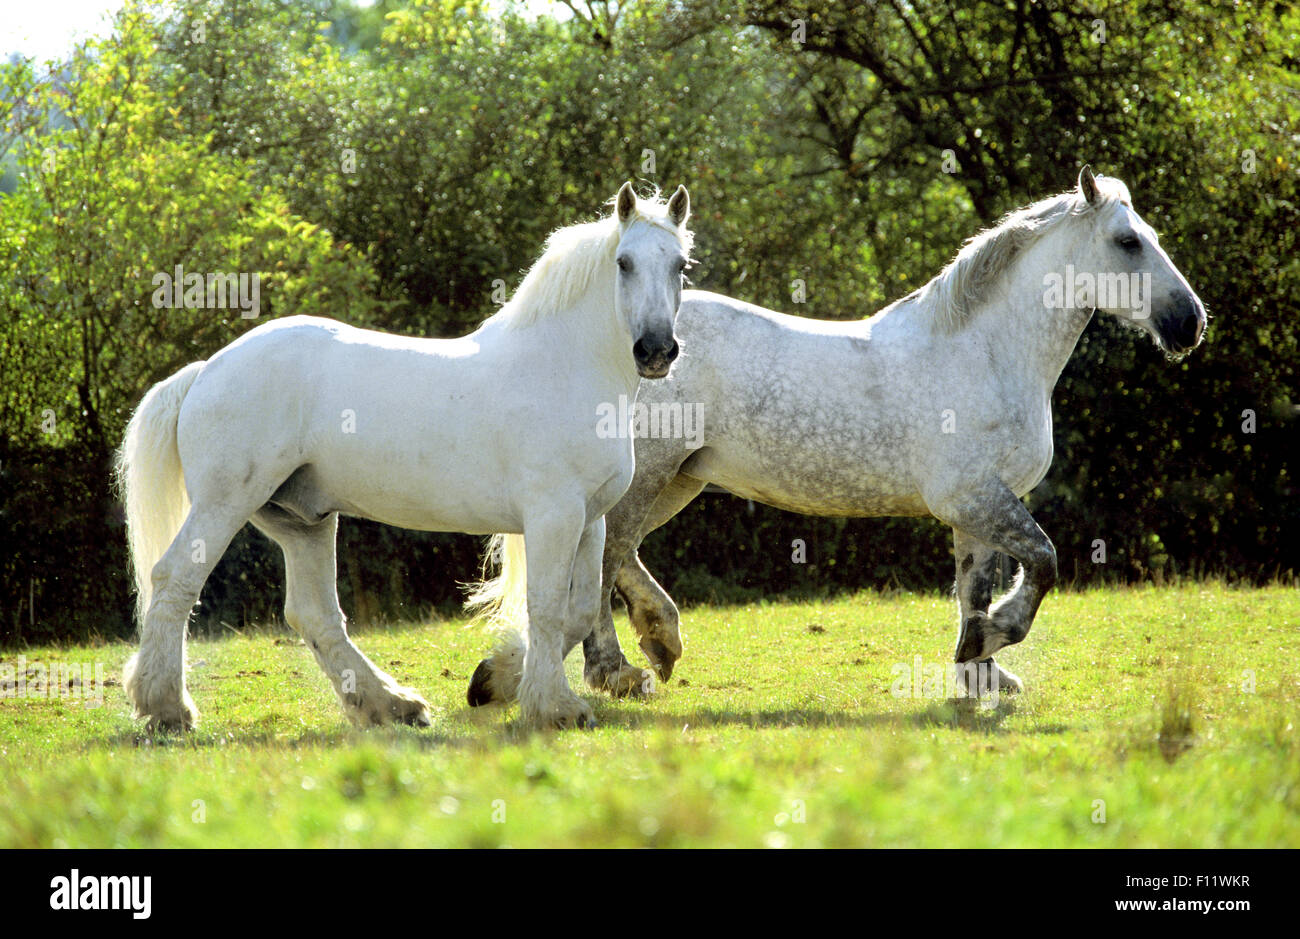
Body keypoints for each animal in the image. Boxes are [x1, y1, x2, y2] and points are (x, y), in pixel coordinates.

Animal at [117, 182, 693, 732]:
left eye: (680, 266)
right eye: (623, 262)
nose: (655, 351)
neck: (563, 365)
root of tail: (206, 370)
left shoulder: (589, 520)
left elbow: (577, 611)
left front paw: (502, 684)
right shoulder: (554, 515)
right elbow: (548, 609)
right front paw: (555, 708)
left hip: (302, 519)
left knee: (314, 614)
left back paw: (392, 706)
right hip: (224, 504)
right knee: (174, 581)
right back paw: (167, 709)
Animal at [466, 167, 1206, 713]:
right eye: (1128, 242)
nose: (1190, 323)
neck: (987, 354)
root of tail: (636, 343)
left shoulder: (976, 509)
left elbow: (975, 587)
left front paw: (980, 670)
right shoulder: (973, 496)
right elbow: (1045, 563)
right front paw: (989, 646)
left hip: (679, 478)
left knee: (616, 559)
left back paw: (604, 653)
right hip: (647, 476)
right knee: (608, 558)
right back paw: (619, 668)